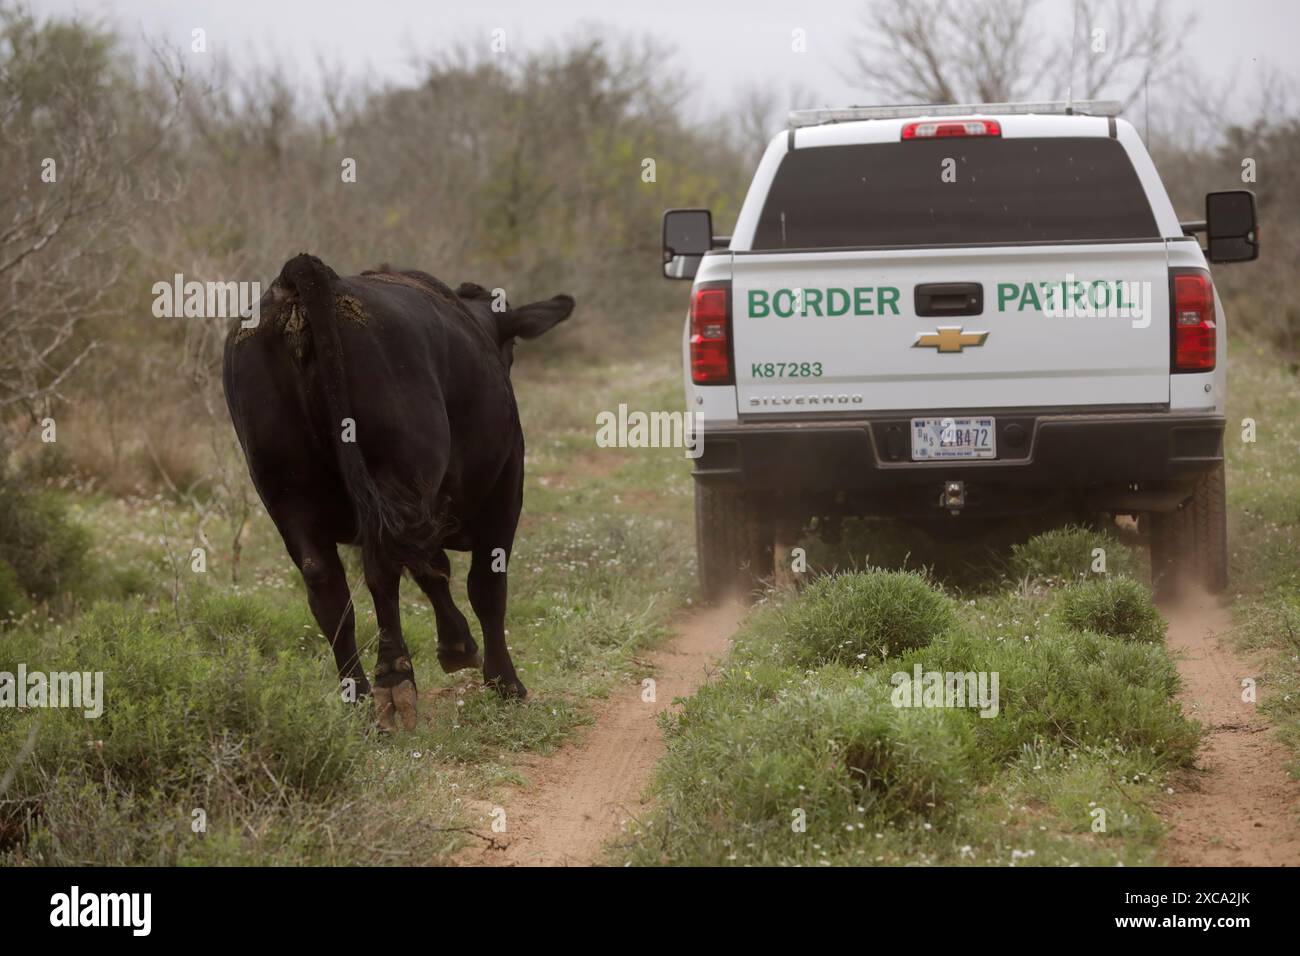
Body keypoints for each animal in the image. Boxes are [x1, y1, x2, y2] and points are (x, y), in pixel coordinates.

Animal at [222, 253, 574, 730]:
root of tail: (306, 278)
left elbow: (432, 570)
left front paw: (457, 645)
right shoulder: (505, 488)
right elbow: (484, 585)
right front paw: (503, 682)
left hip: (287, 495)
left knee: (328, 586)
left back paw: (357, 696)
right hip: (398, 474)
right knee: (383, 567)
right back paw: (394, 682)